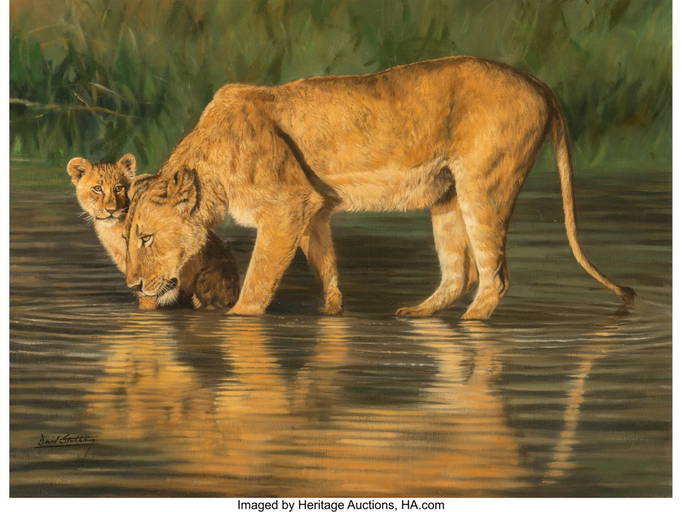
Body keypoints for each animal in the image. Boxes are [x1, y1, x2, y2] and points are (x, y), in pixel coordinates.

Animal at [123, 56, 634, 319]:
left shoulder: (289, 204)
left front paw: (238, 320)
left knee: (495, 278)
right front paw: (333, 313)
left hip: (484, 185)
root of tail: (536, 79)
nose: (131, 284)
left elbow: (259, 278)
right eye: (127, 238)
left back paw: (471, 324)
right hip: (447, 196)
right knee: (460, 273)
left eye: (146, 237)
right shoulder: (314, 209)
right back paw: (417, 314)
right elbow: (326, 266)